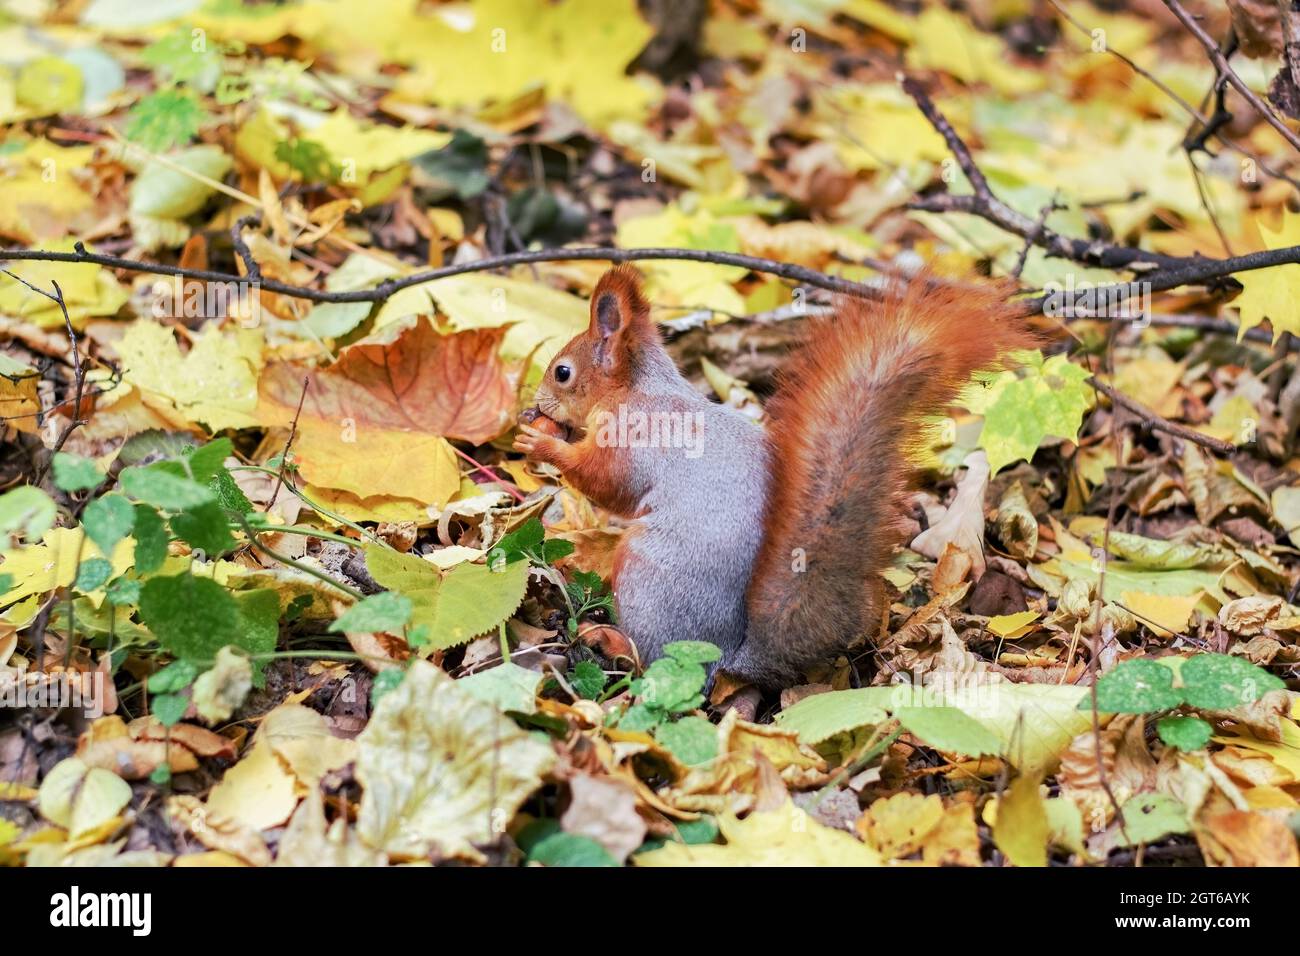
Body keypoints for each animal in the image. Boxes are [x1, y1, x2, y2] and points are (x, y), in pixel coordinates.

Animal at [514, 265, 1032, 688]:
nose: (536, 404)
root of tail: (731, 654)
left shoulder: (632, 438)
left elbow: (605, 483)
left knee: (655, 661)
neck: (639, 389)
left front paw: (542, 443)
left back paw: (610, 639)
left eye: (562, 372)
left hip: (648, 577)